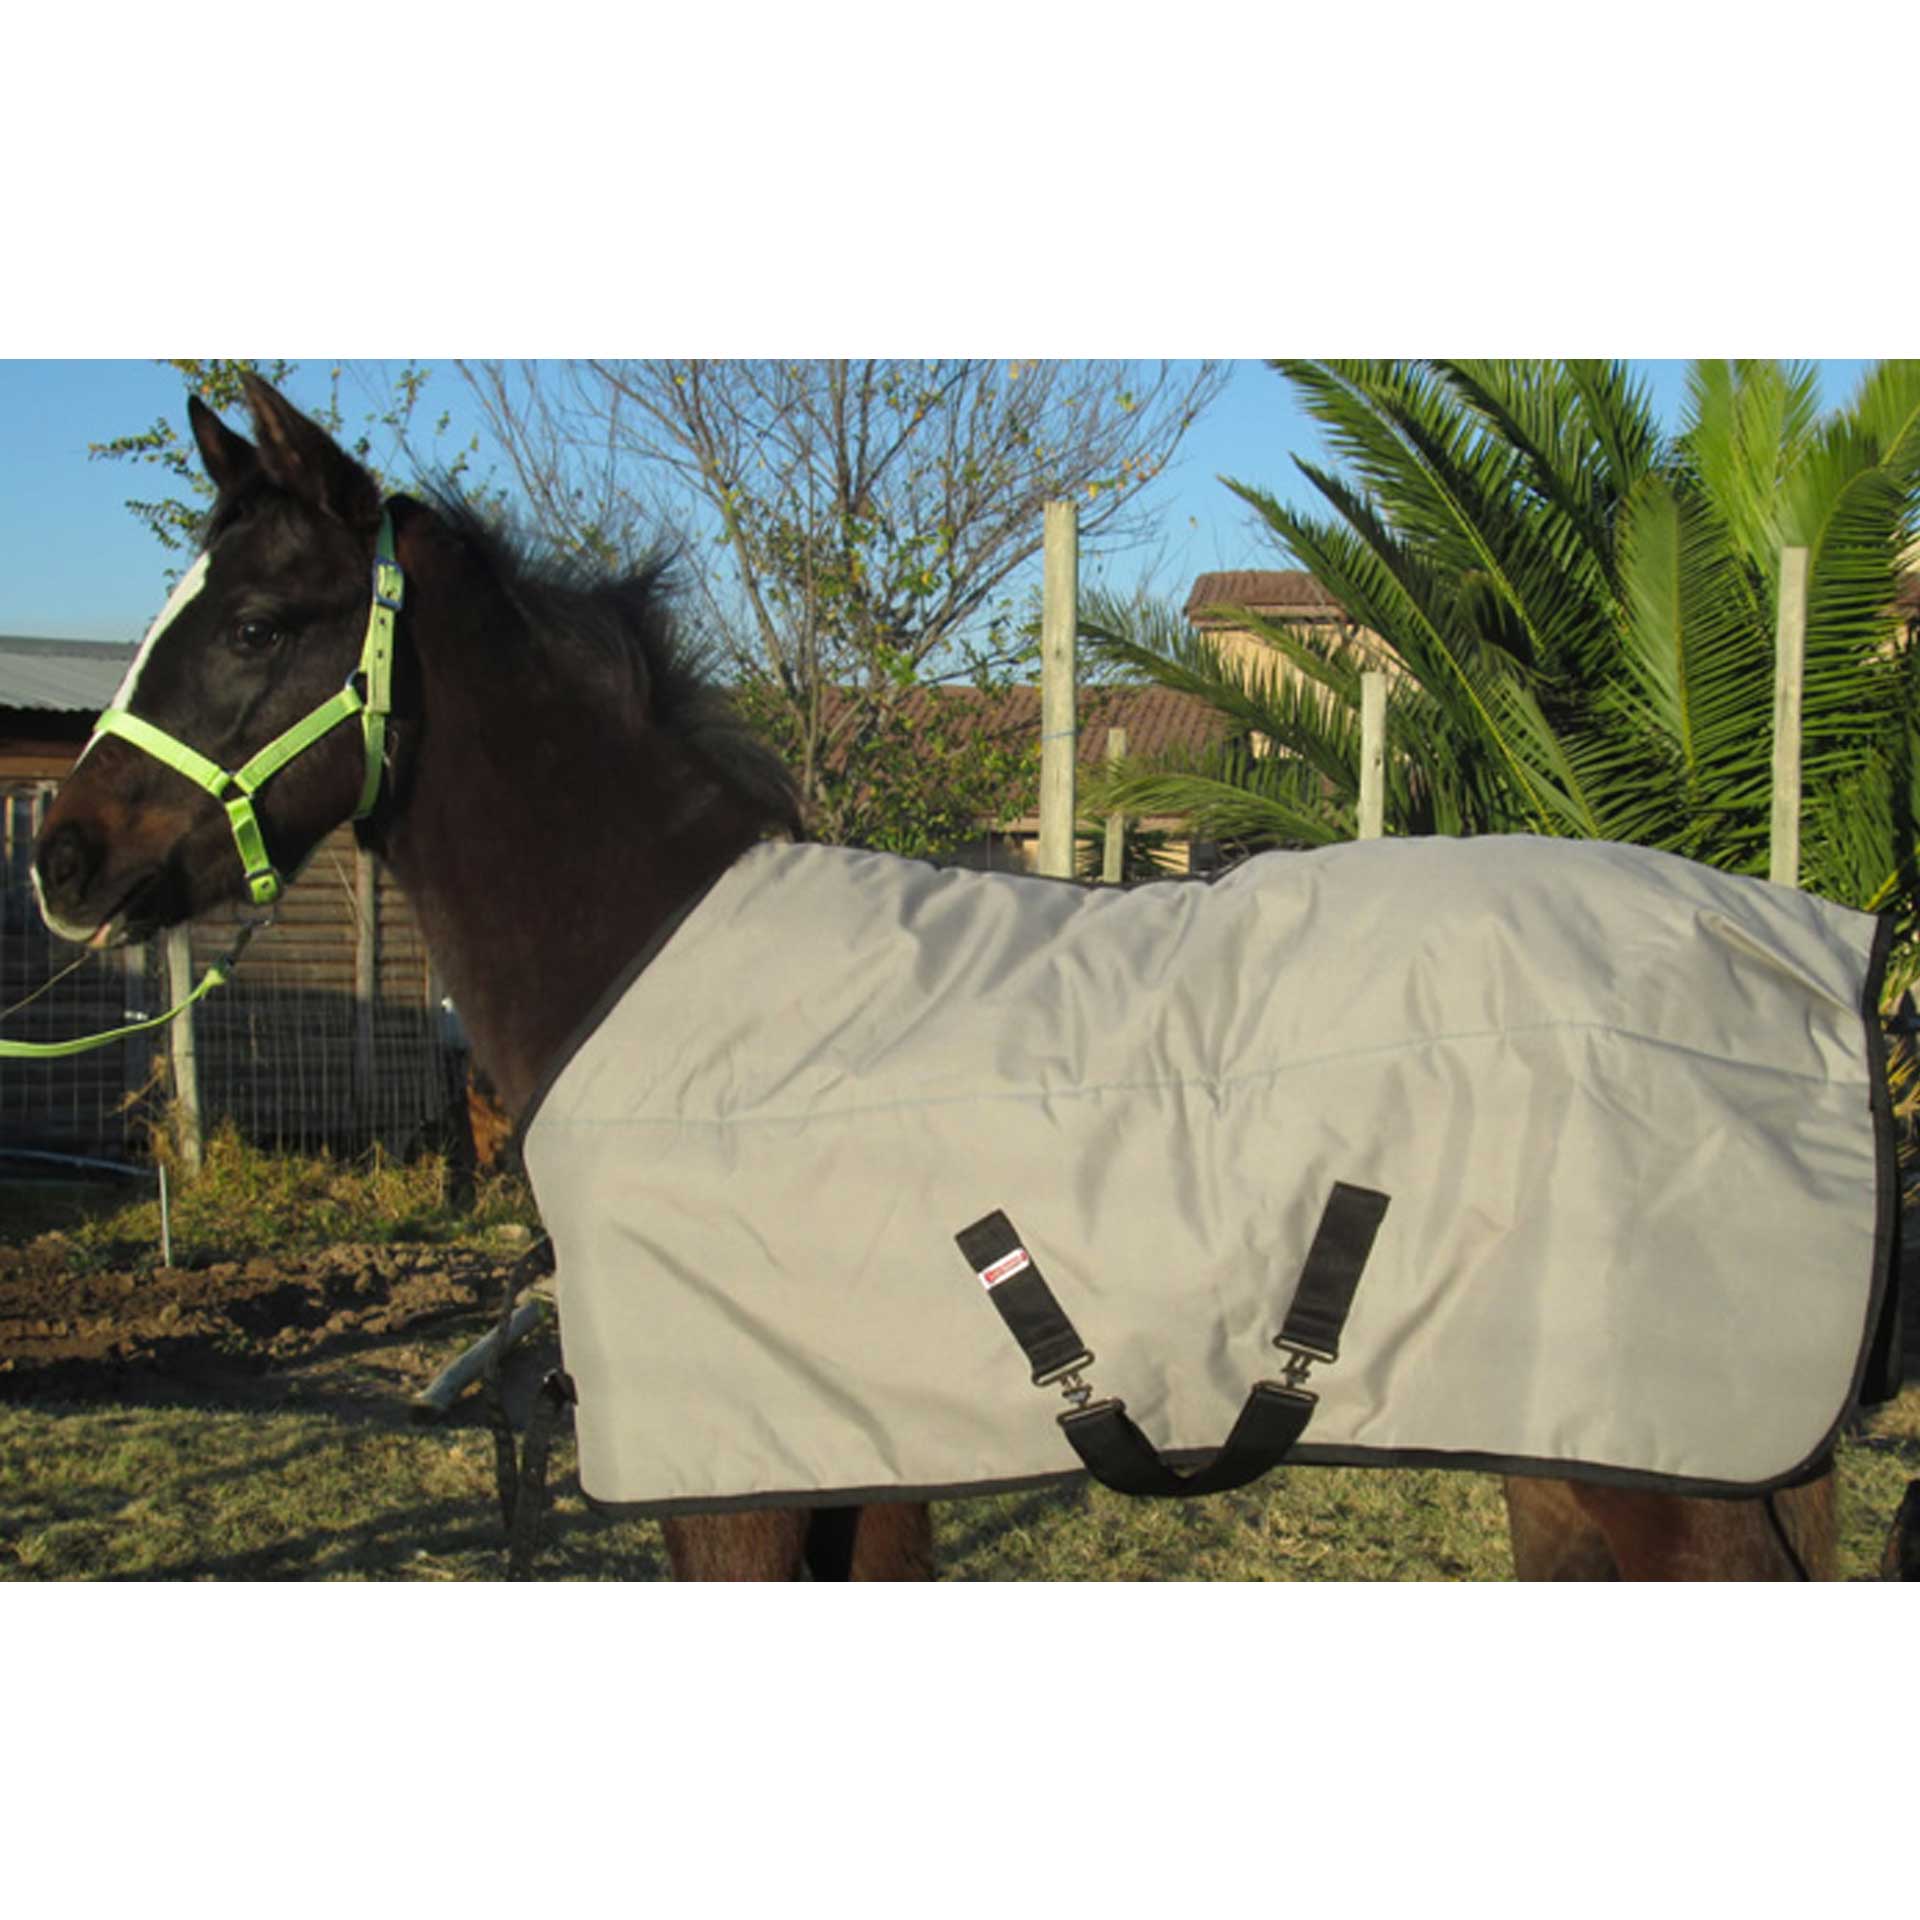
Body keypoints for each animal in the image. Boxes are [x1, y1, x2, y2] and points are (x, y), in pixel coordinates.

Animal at [29, 372, 1851, 1580]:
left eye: (259, 624)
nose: (62, 854)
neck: (653, 954)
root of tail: (1815, 955)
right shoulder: (847, 1453)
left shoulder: (746, 1478)